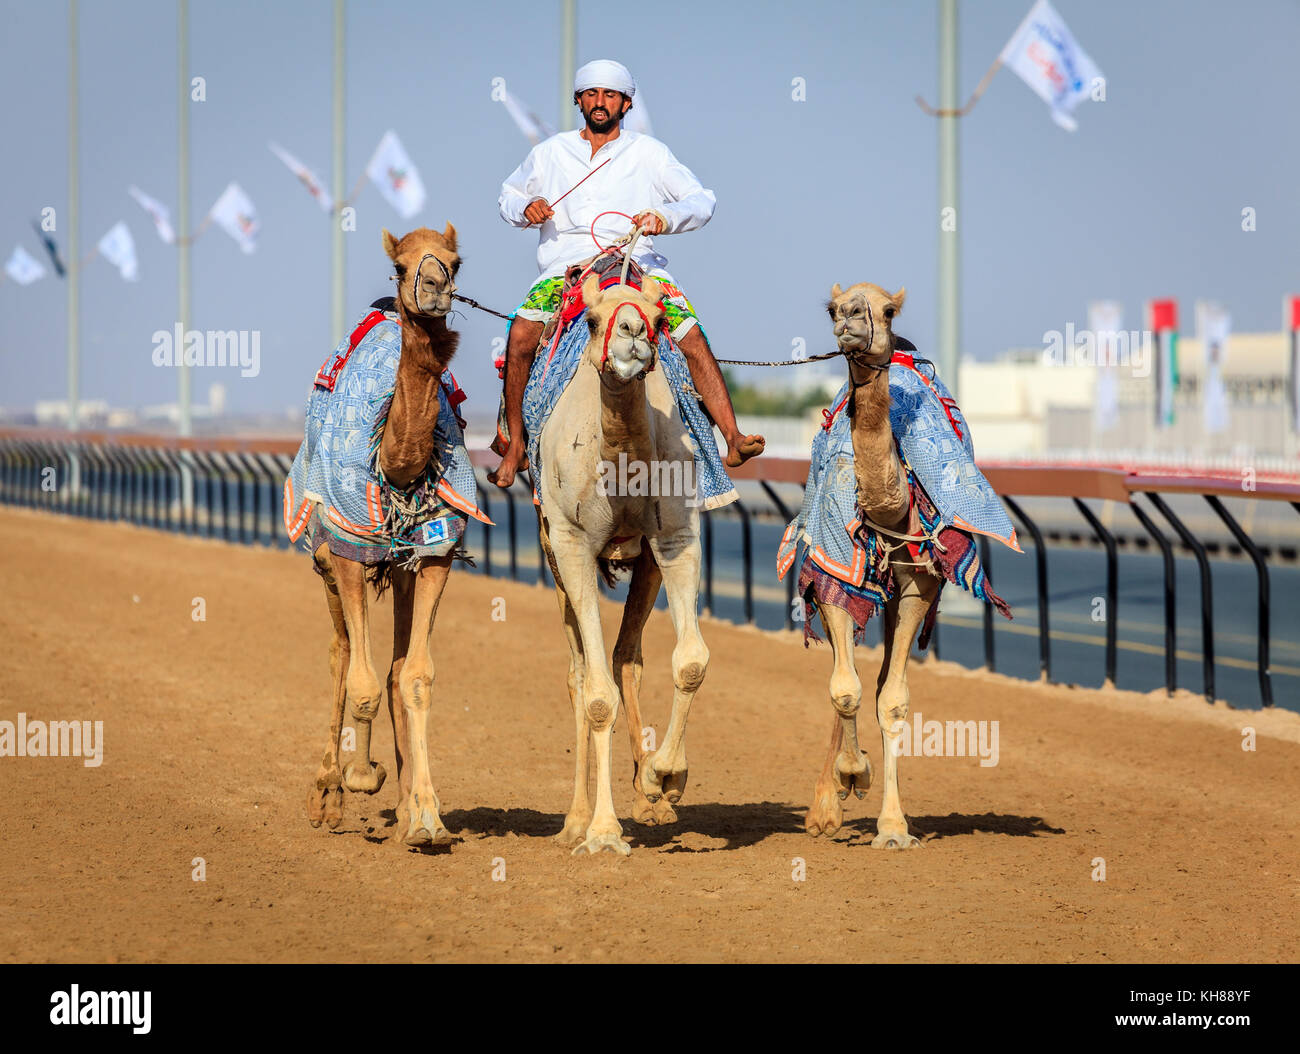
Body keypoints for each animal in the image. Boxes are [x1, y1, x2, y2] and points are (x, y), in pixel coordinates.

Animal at [304, 224, 464, 848]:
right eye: (399, 265)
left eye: (456, 262)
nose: (434, 286)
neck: (394, 468)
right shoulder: (349, 555)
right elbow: (363, 680)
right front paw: (359, 776)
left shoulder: (435, 555)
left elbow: (414, 676)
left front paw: (425, 816)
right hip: (327, 562)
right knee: (342, 654)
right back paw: (328, 795)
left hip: (399, 569)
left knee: (392, 665)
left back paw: (399, 801)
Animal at [537, 273, 709, 856]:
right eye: (592, 319)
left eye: (658, 319)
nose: (632, 333)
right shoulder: (571, 545)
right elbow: (595, 697)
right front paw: (603, 834)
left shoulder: (676, 536)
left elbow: (690, 661)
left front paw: (663, 776)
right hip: (553, 554)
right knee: (577, 674)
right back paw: (574, 821)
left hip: (647, 565)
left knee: (624, 656)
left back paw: (650, 796)